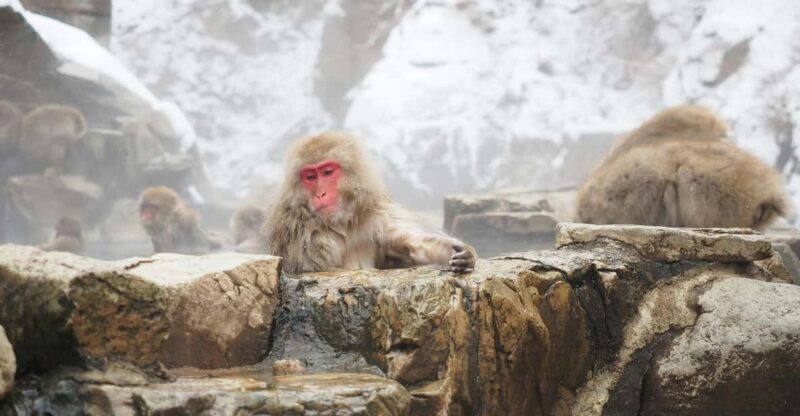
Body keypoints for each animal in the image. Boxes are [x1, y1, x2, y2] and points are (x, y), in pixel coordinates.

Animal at [265, 131, 477, 273]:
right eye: (310, 177)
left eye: (327, 172)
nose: (320, 194)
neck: (342, 223)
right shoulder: (302, 234)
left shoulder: (374, 217)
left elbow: (408, 243)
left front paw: (462, 253)